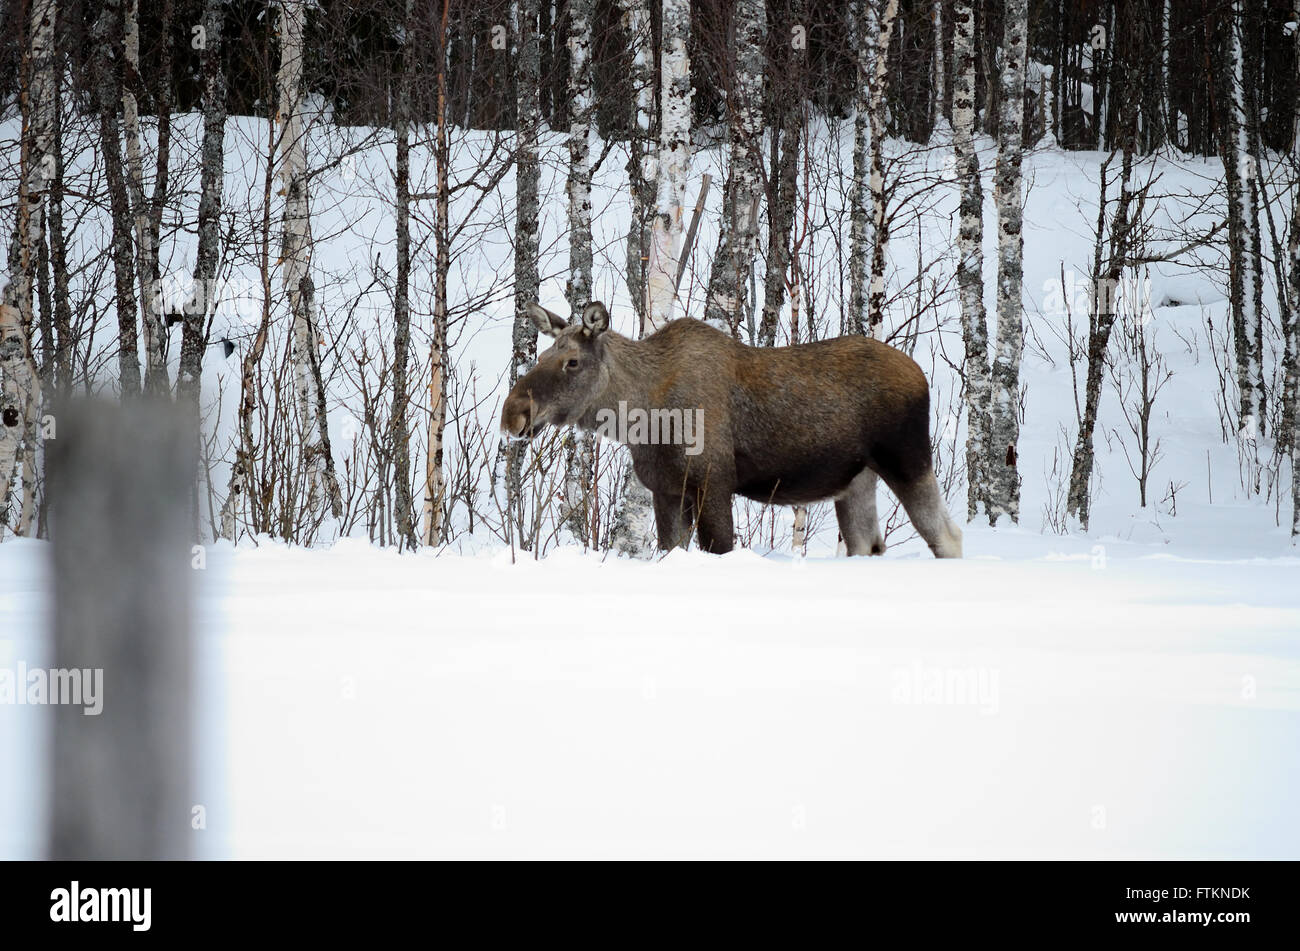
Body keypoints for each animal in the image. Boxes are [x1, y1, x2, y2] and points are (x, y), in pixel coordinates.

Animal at [500, 301, 962, 558]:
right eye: (543, 353)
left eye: (572, 361)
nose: (513, 413)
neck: (642, 415)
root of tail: (921, 375)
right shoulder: (668, 490)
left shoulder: (713, 483)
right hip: (856, 480)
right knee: (867, 543)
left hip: (907, 458)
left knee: (948, 536)